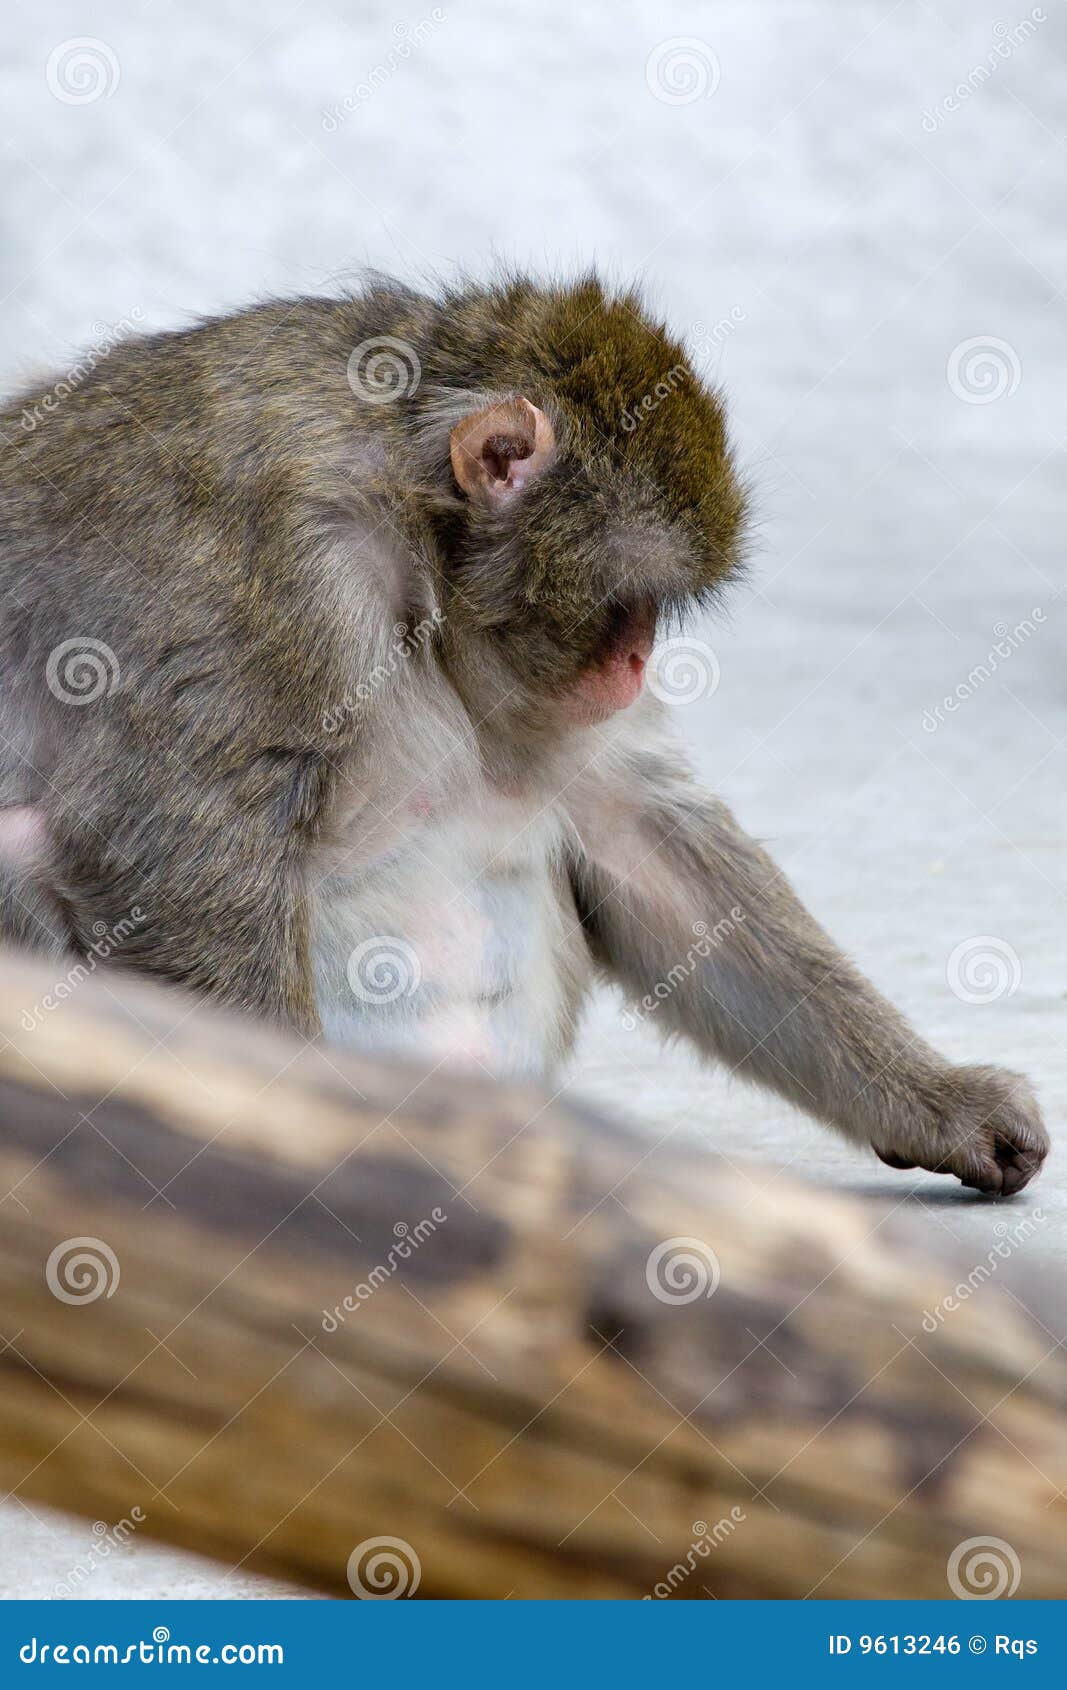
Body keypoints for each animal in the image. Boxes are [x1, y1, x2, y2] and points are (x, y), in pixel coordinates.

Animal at [0, 274, 1048, 1196]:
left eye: (655, 611)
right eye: (630, 601)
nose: (637, 663)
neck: (417, 544)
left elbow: (645, 846)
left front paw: (936, 1102)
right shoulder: (275, 567)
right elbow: (170, 850)